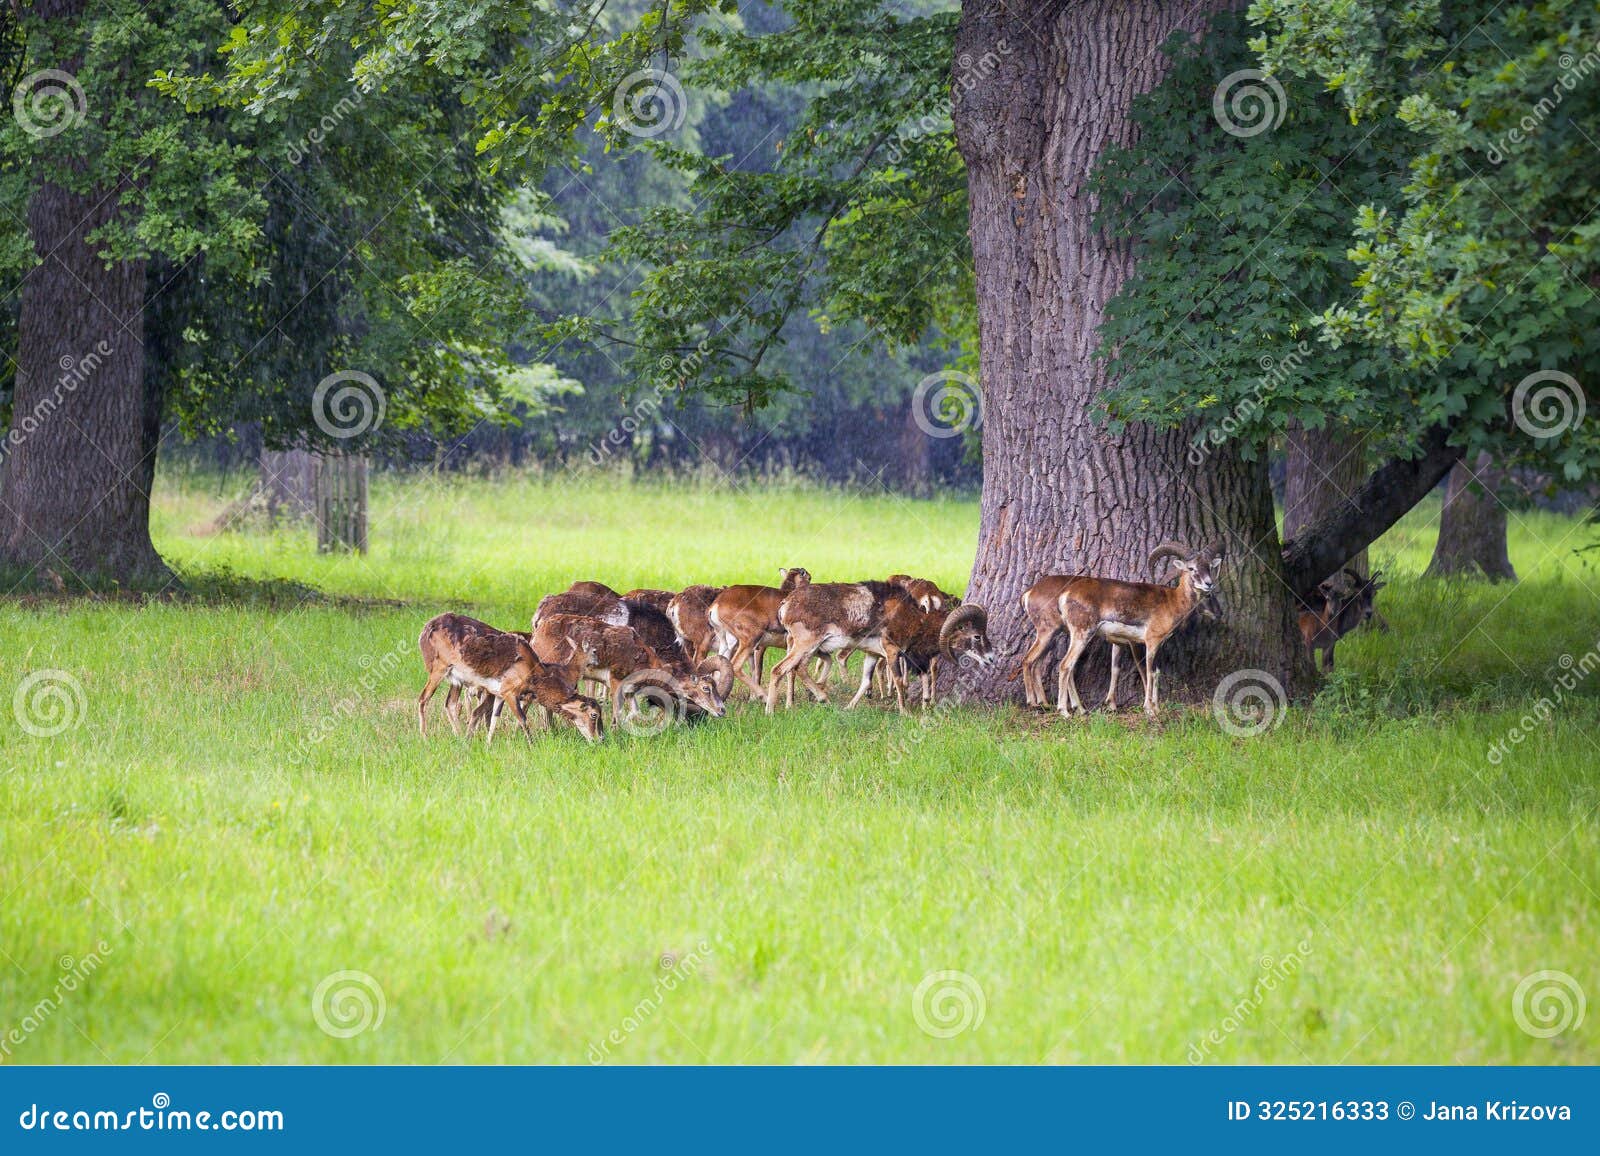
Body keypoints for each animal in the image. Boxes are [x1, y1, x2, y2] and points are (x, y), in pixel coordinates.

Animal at [417, 614, 604, 743]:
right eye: (594, 715)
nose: (600, 739)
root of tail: (425, 630)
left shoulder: (499, 694)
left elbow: (493, 719)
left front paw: (487, 744)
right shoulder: (510, 692)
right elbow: (522, 719)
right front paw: (532, 744)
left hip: (455, 680)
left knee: (450, 703)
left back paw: (460, 737)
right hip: (439, 670)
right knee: (423, 699)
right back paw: (425, 738)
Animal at [707, 567, 812, 696]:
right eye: (809, 578)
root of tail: (717, 603)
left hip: (727, 643)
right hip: (750, 639)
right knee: (735, 666)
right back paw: (763, 696)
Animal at [1050, 541, 1224, 717]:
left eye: (1210, 566)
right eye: (1191, 568)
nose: (1209, 584)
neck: (1172, 601)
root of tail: (1066, 594)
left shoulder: (1157, 645)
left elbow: (1156, 672)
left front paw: (1156, 708)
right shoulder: (1149, 642)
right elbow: (1148, 672)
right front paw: (1149, 709)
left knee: (1071, 667)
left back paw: (1081, 709)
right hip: (1083, 633)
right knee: (1065, 665)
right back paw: (1064, 711)